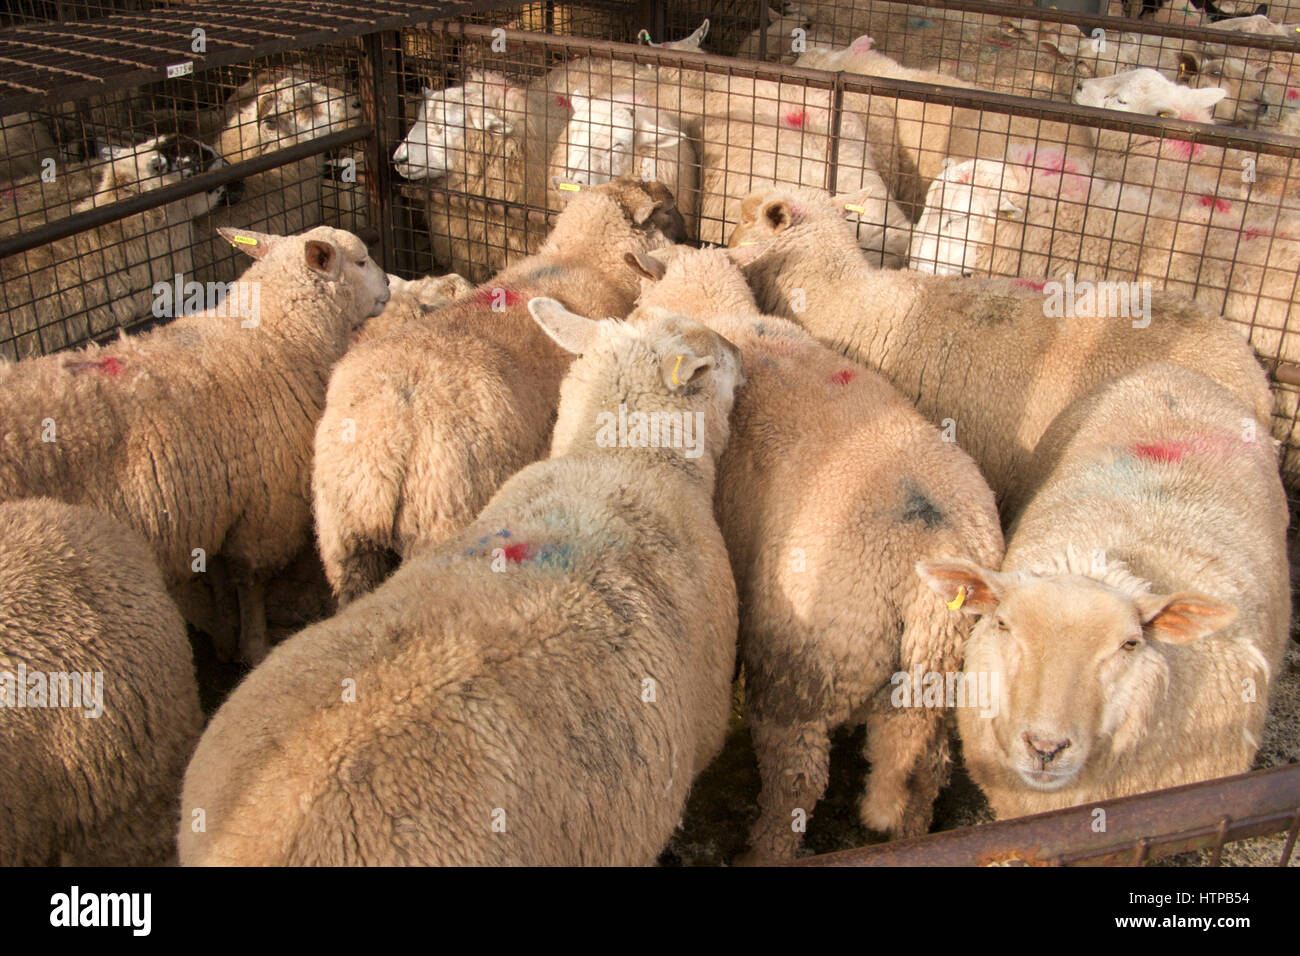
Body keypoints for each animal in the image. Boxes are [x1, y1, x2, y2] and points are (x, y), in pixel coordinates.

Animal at [0, 225, 391, 664]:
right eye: (360, 260)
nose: (389, 285)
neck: (276, 334)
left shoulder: (217, 505)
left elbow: (216, 573)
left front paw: (223, 634)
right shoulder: (263, 509)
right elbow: (249, 583)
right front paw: (254, 645)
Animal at [627, 244, 1004, 859]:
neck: (721, 317)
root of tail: (929, 588)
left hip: (800, 669)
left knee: (797, 782)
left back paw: (762, 851)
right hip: (944, 688)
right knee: (927, 770)